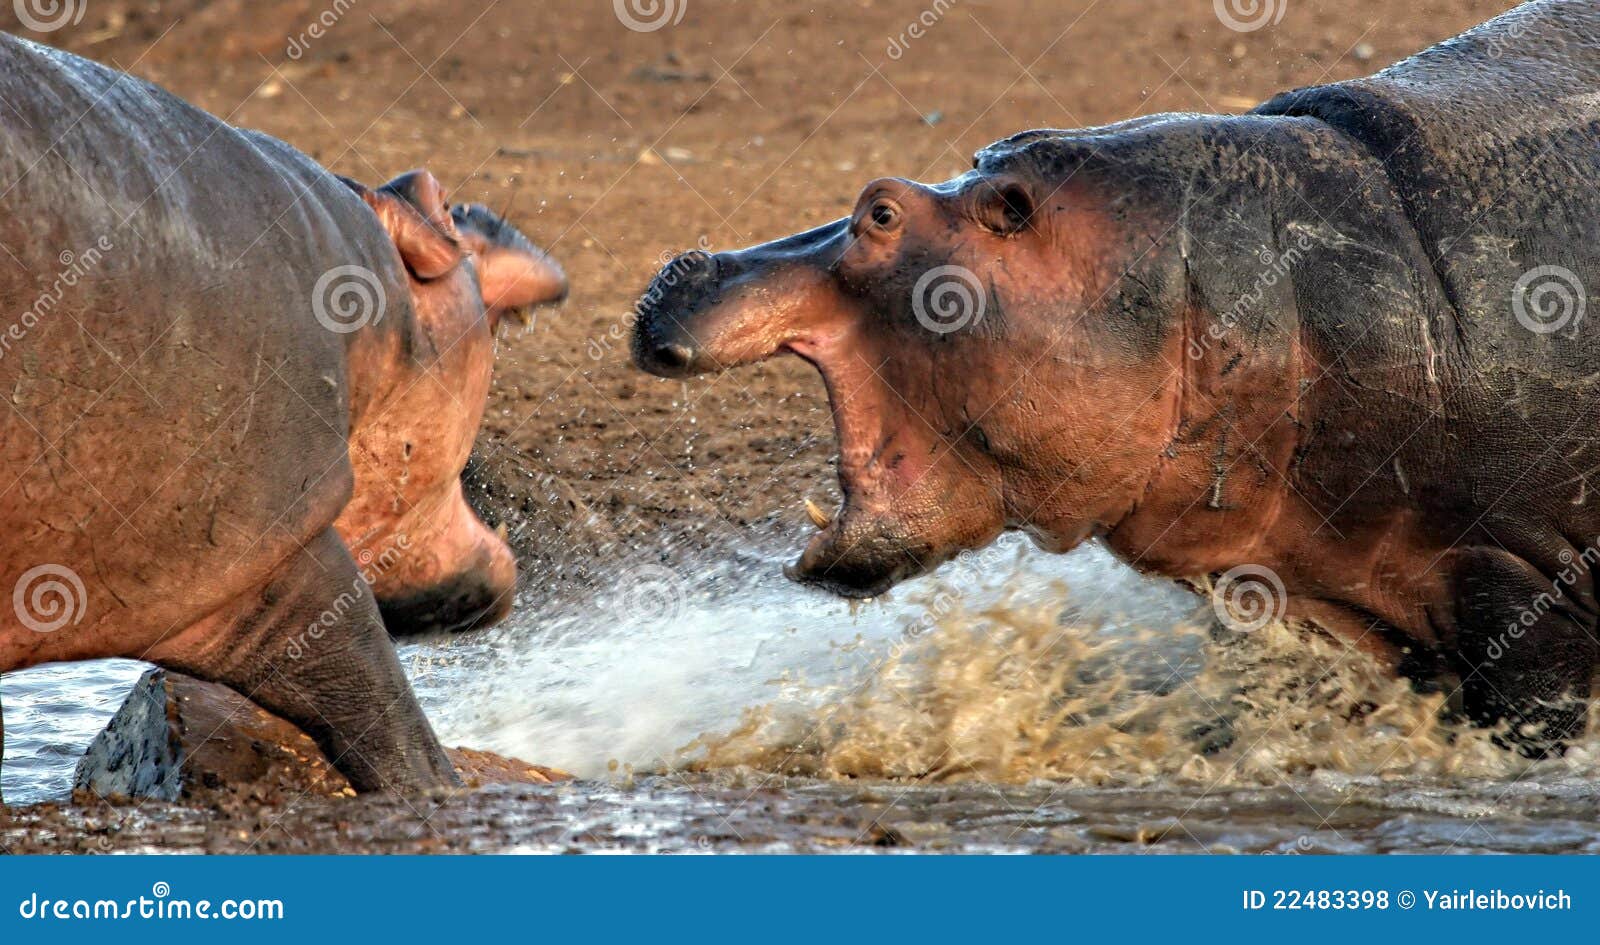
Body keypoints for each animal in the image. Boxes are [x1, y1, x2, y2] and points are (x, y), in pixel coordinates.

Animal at [0, 32, 565, 798]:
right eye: (443, 204)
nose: (479, 206)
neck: (372, 310)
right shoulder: (272, 550)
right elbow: (383, 709)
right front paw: (440, 788)